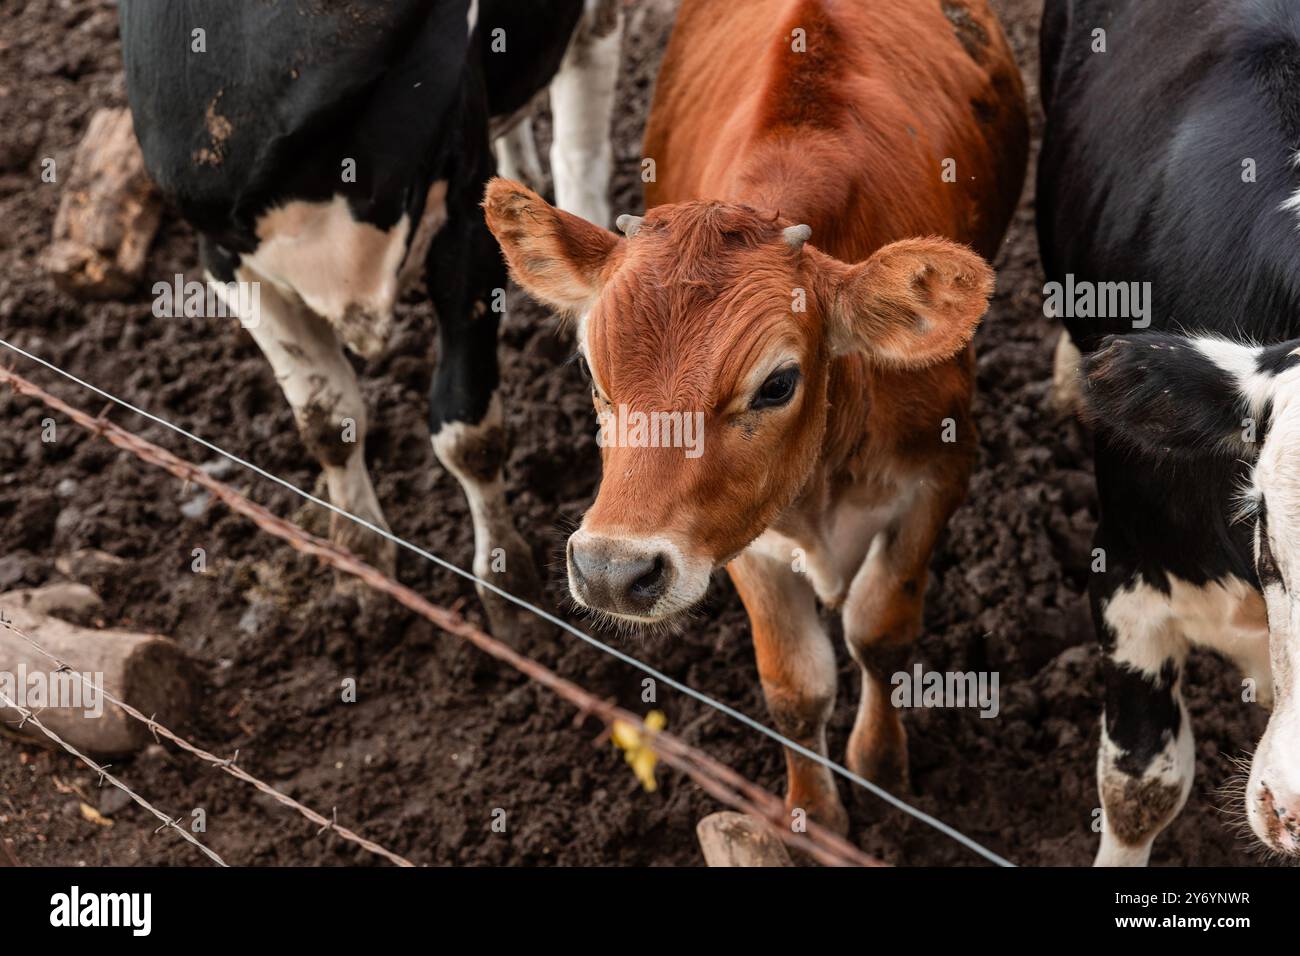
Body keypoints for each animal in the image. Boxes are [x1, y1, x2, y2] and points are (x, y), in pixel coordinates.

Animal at [117, 0, 623, 635]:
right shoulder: (227, 258)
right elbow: (325, 422)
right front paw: (359, 565)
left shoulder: (464, 218)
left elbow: (469, 432)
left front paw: (510, 590)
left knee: (583, 120)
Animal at [484, 0, 1027, 834]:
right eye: (592, 372)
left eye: (777, 385)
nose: (611, 571)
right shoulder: (734, 527)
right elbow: (795, 685)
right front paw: (814, 819)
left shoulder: (939, 475)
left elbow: (879, 632)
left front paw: (881, 770)